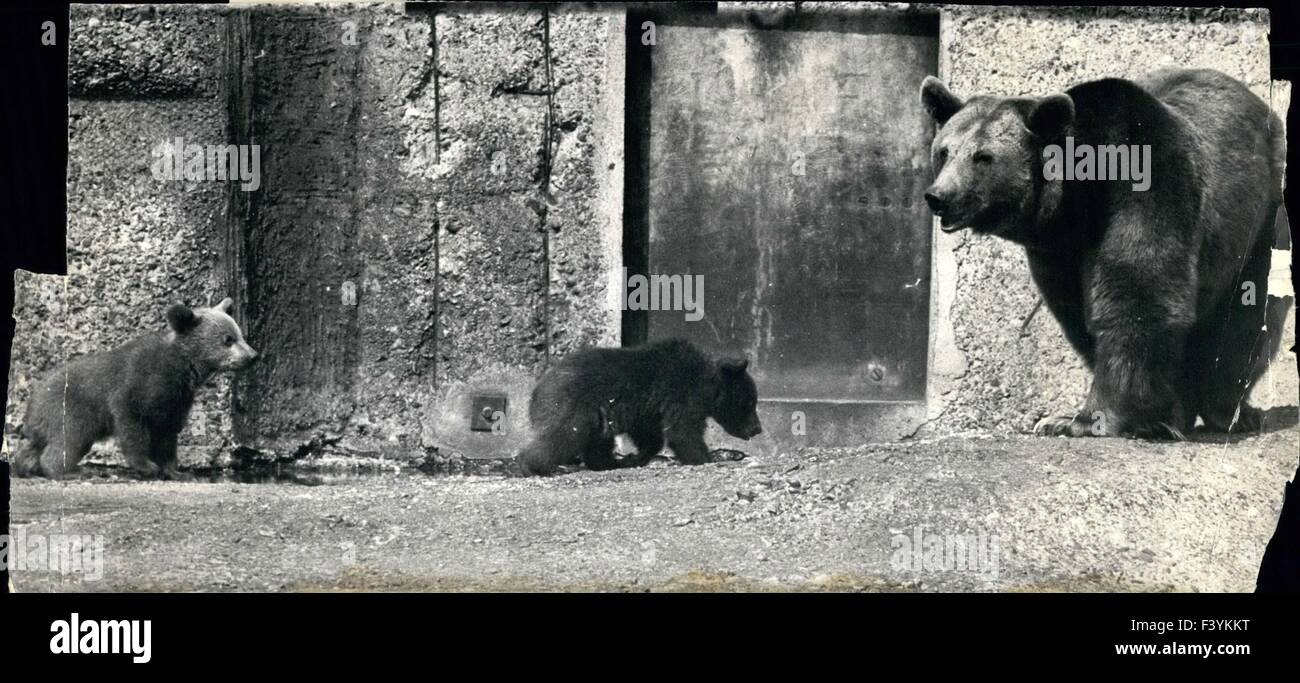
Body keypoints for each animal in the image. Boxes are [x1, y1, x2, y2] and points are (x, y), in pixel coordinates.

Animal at [12, 297, 258, 479]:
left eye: (240, 335)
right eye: (228, 339)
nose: (253, 356)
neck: (181, 368)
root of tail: (32, 404)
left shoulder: (177, 400)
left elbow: (167, 434)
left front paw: (176, 471)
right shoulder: (137, 385)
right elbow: (132, 424)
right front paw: (147, 466)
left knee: (36, 445)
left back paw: (27, 467)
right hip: (71, 411)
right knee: (69, 439)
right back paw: (68, 472)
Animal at [517, 338, 763, 476]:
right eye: (750, 403)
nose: (757, 429)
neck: (707, 384)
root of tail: (538, 389)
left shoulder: (647, 409)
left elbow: (649, 435)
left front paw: (637, 457)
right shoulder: (681, 395)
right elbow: (683, 431)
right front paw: (705, 457)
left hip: (597, 416)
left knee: (596, 443)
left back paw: (609, 463)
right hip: (574, 407)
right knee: (560, 436)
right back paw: (535, 465)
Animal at [919, 68, 1287, 439]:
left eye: (983, 157)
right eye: (944, 152)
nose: (939, 196)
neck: (1077, 200)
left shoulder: (1146, 181)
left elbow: (1137, 295)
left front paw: (1088, 419)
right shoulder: (1057, 252)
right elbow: (1077, 312)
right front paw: (1149, 414)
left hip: (1262, 215)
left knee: (1249, 313)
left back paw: (1229, 411)